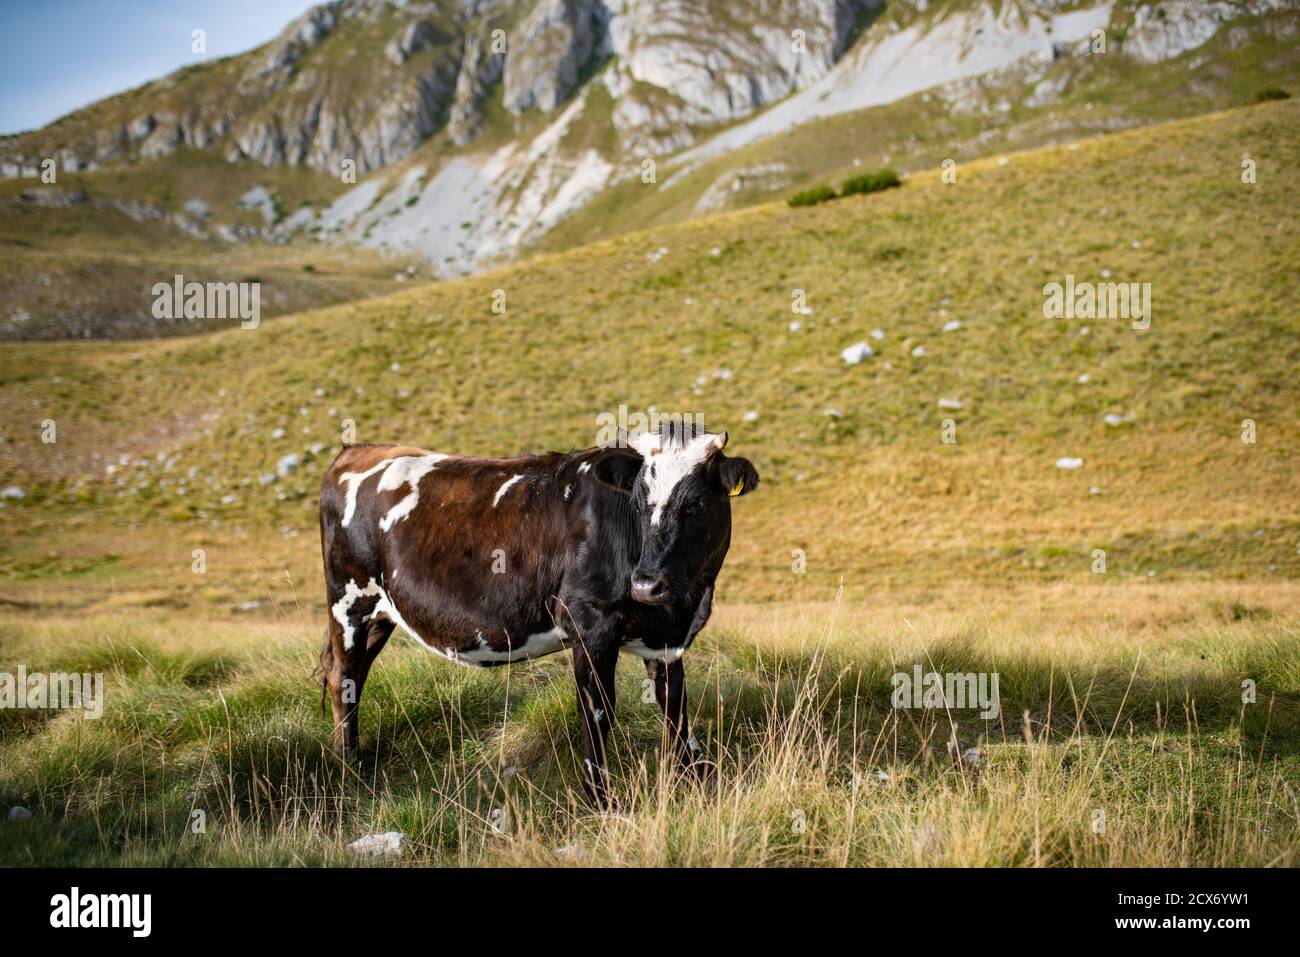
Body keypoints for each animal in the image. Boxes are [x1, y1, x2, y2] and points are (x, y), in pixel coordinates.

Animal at [317, 422, 759, 808]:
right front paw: (602, 801)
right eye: (638, 502)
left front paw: (697, 779)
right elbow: (597, 711)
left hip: (380, 614)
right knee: (344, 677)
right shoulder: (590, 625)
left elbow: (675, 707)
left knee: (352, 673)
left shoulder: (665, 639)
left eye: (695, 504)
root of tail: (359, 450)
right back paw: (350, 767)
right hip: (349, 601)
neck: (684, 608)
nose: (647, 584)